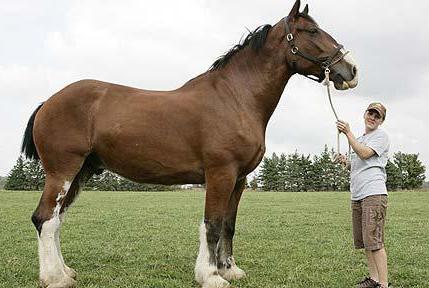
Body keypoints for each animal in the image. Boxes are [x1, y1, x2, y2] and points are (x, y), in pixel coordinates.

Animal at [23, 1, 358, 286]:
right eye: (311, 31)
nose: (351, 69)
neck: (236, 97)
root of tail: (48, 102)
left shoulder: (239, 179)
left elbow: (228, 224)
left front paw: (229, 269)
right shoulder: (220, 173)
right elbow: (212, 224)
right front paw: (210, 276)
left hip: (80, 172)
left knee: (55, 220)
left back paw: (65, 271)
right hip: (63, 171)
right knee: (45, 219)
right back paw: (55, 278)